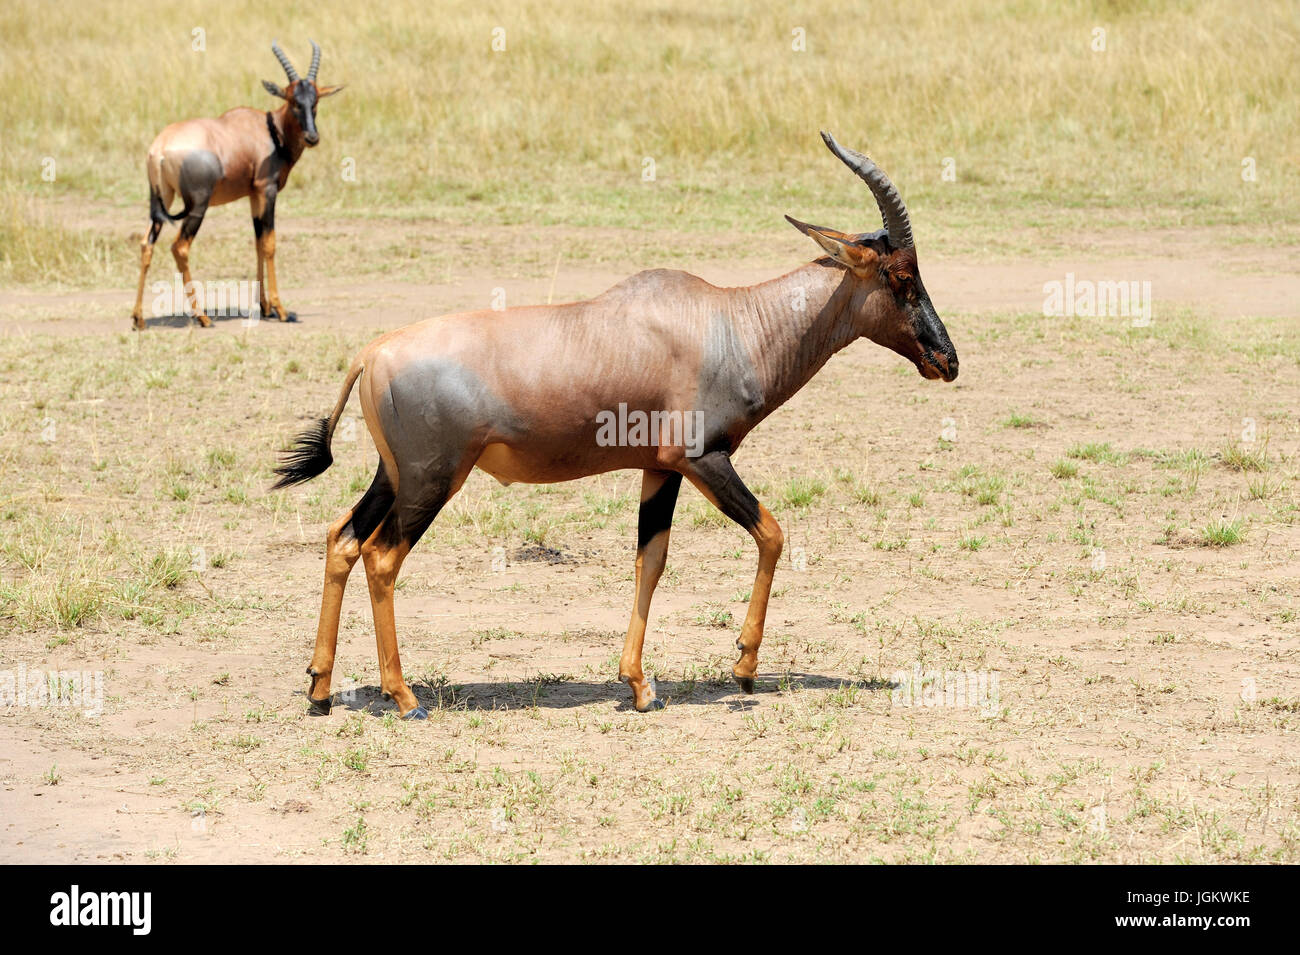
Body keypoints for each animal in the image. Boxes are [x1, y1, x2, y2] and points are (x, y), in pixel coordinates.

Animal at [130, 41, 343, 330]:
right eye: (292, 100)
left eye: (315, 99)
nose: (312, 137)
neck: (267, 129)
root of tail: (159, 148)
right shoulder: (267, 190)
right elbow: (270, 243)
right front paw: (282, 310)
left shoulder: (253, 195)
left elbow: (258, 241)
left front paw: (265, 307)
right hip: (198, 205)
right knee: (180, 247)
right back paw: (203, 317)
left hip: (163, 201)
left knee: (146, 243)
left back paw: (138, 318)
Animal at [275, 132, 958, 719]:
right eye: (900, 275)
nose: (947, 360)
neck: (727, 322)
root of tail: (372, 353)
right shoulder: (702, 460)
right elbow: (772, 533)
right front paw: (742, 668)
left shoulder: (660, 469)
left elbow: (649, 561)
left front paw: (639, 685)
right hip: (432, 480)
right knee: (381, 556)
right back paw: (404, 696)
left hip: (393, 476)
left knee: (342, 538)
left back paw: (320, 689)